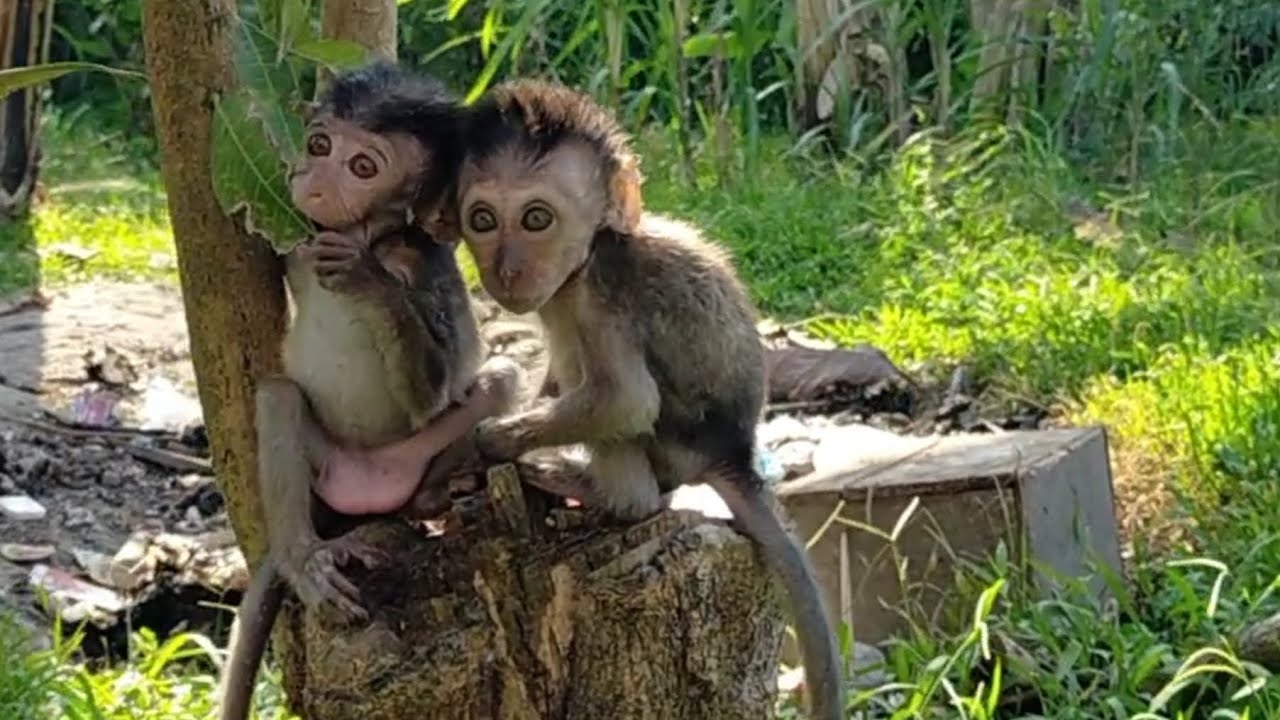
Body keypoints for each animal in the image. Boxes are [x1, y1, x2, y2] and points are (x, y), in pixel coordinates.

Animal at [215, 61, 524, 720]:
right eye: (319, 145)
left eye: (362, 166)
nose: (314, 178)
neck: (365, 233)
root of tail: (367, 489)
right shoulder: (297, 237)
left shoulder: (424, 261)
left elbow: (437, 388)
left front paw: (368, 278)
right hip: (326, 469)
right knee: (279, 395)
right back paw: (304, 558)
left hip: (410, 460)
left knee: (504, 377)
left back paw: (434, 493)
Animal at [453, 79, 845, 720]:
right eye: (482, 220)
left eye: (536, 218)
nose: (506, 268)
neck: (589, 254)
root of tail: (734, 454)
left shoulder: (599, 294)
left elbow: (626, 402)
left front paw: (491, 439)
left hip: (676, 441)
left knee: (631, 433)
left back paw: (603, 491)